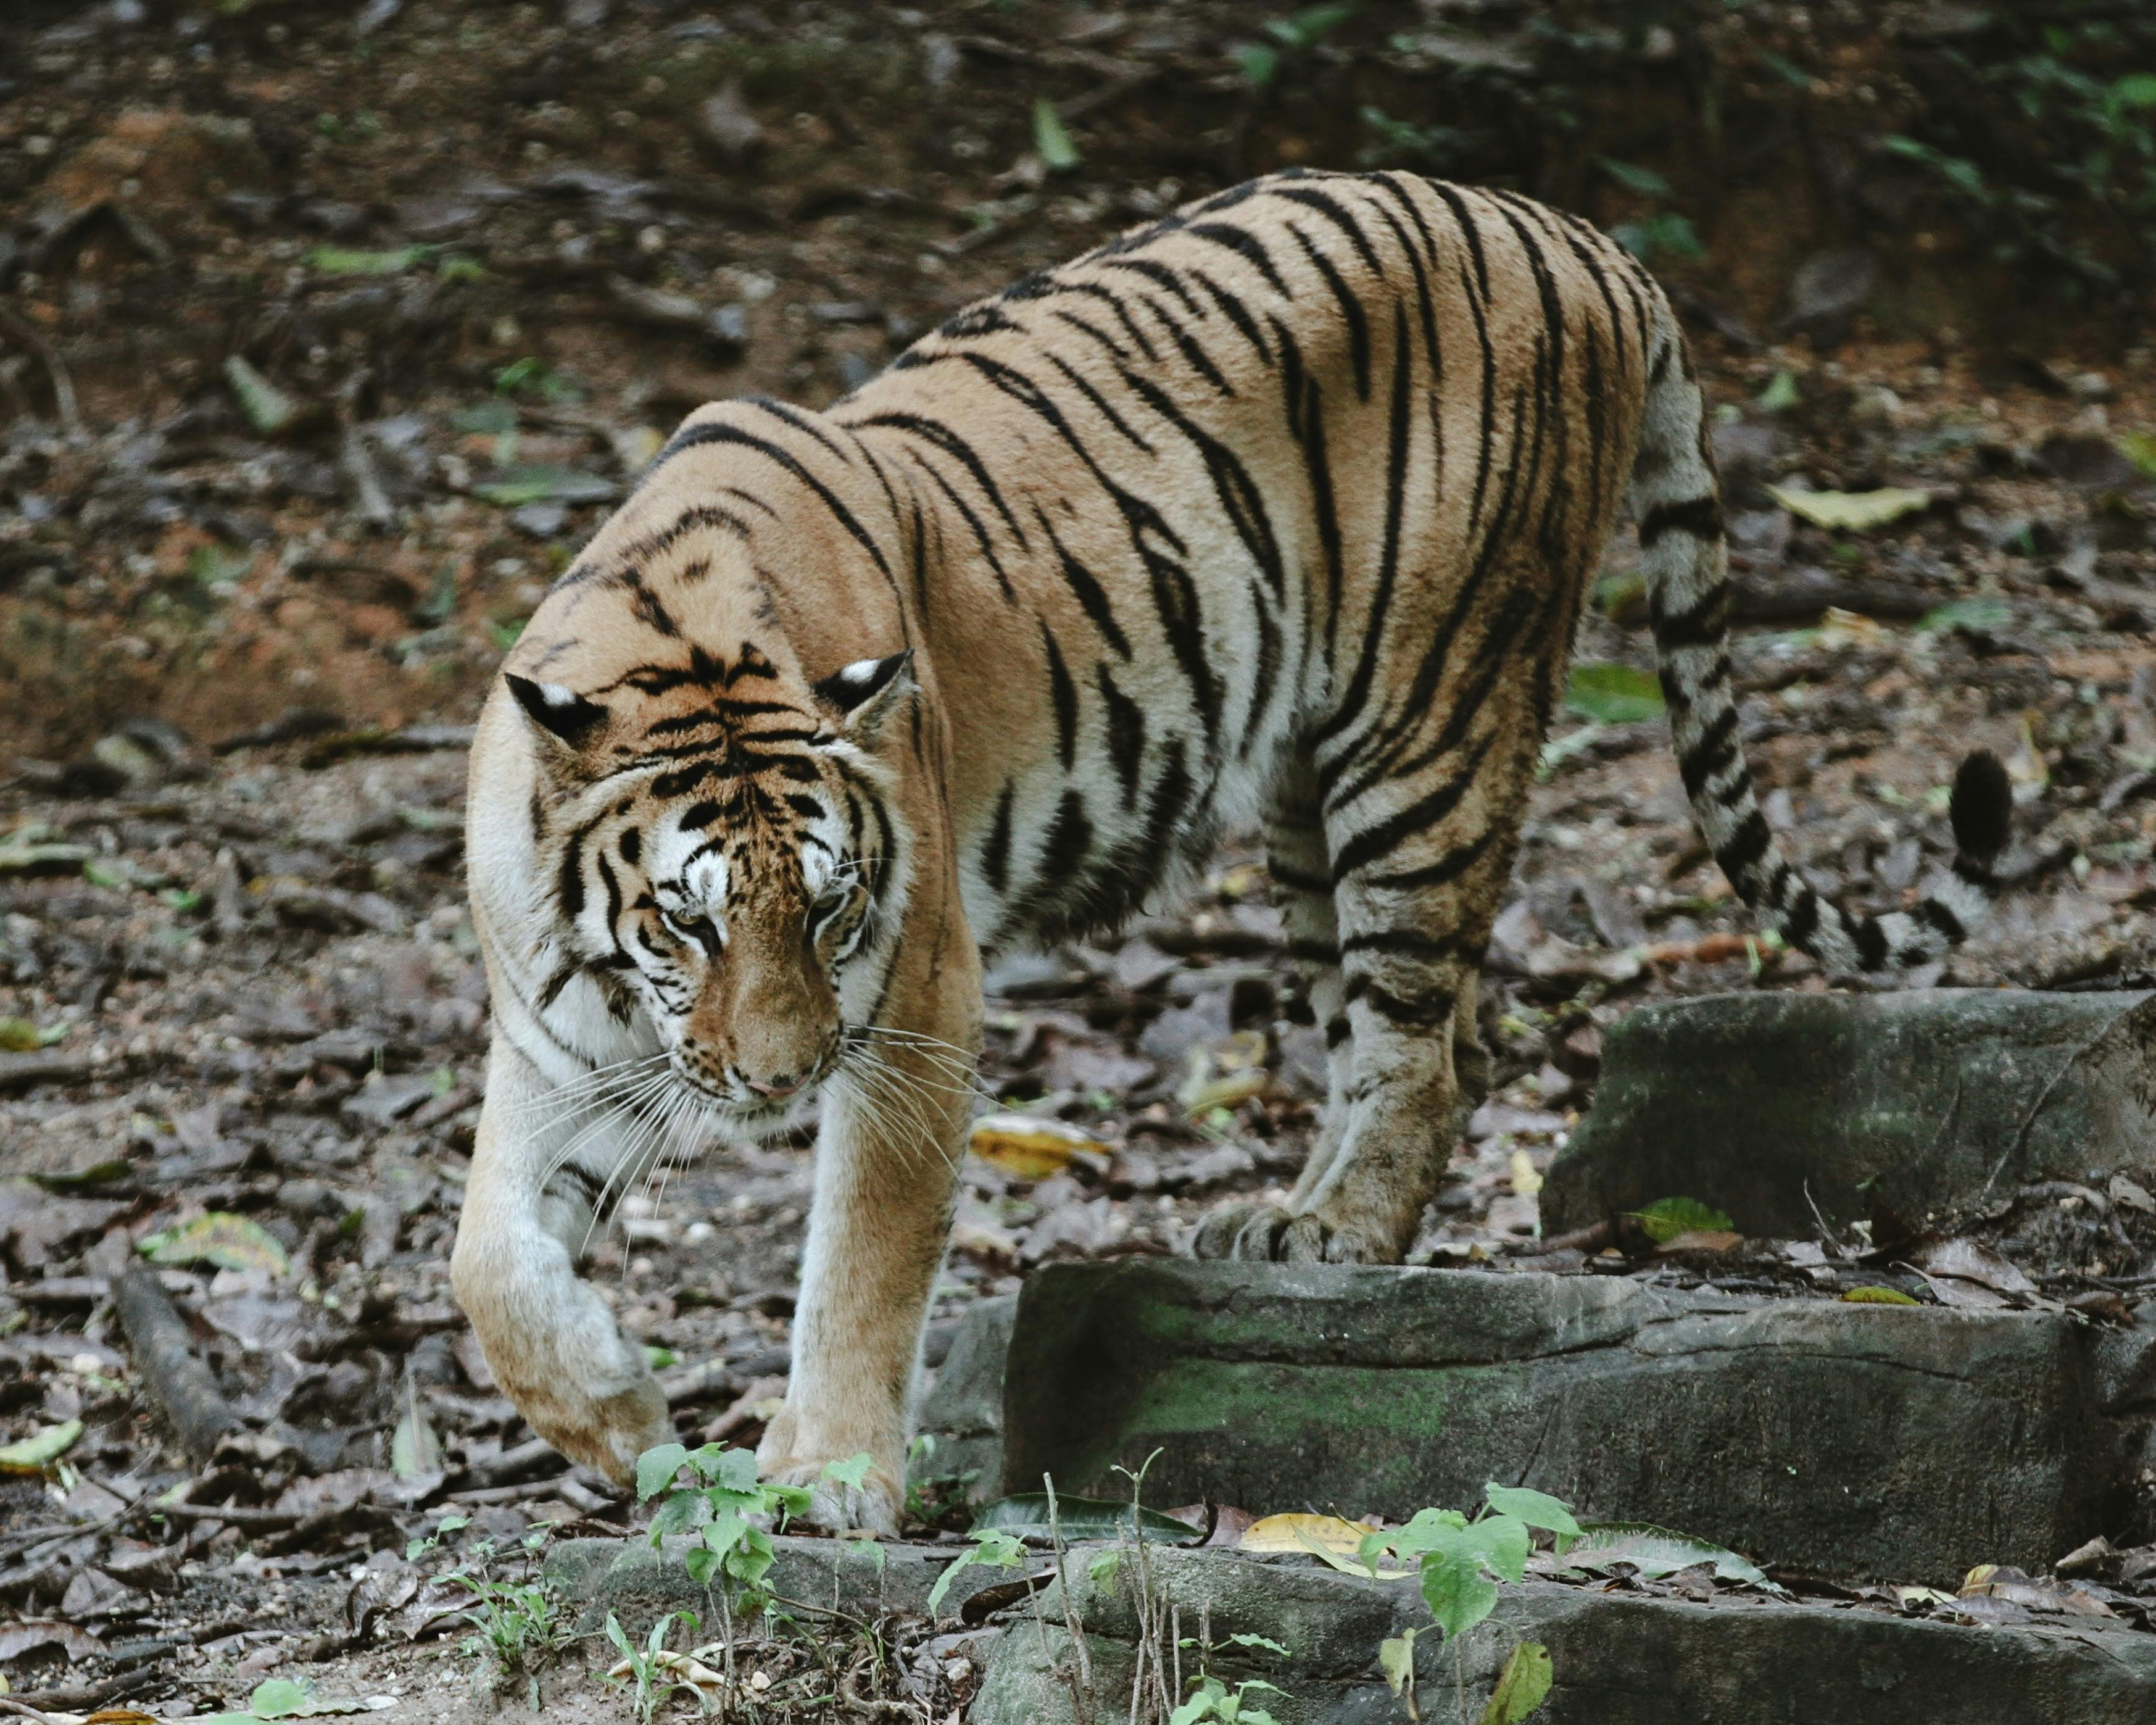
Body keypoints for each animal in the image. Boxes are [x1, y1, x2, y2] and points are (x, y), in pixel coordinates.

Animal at [449, 169, 2013, 1532]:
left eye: (831, 914)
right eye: (688, 920)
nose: (780, 1083)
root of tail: (1585, 239)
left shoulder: (917, 1004)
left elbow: (860, 1262)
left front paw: (824, 1480)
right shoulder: (554, 1037)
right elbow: (487, 1264)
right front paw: (621, 1418)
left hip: (1428, 725)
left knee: (1426, 1048)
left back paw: (1333, 1238)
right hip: (1312, 805)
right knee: (1406, 1036)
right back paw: (1287, 1226)